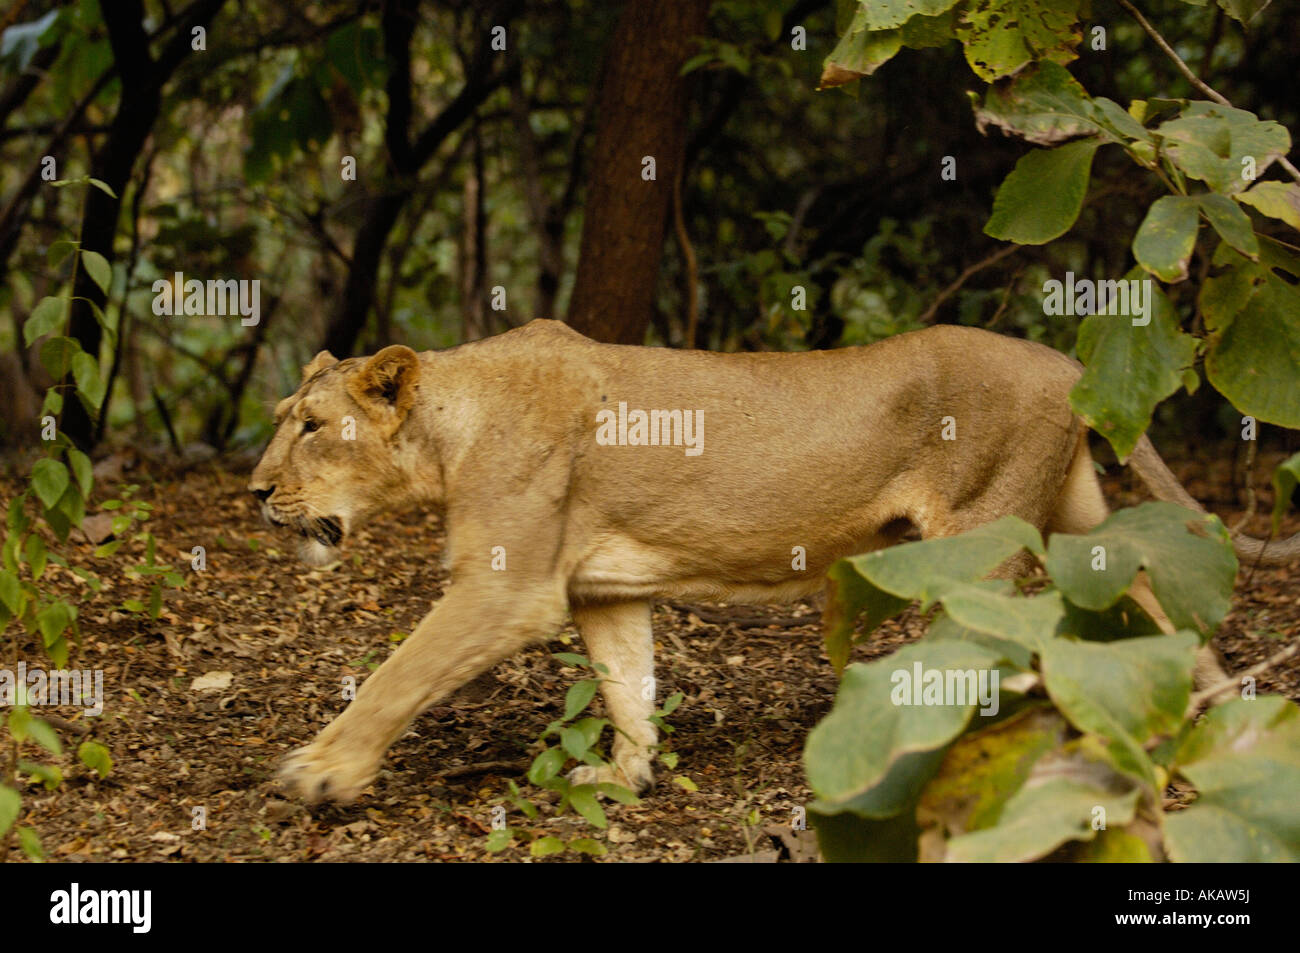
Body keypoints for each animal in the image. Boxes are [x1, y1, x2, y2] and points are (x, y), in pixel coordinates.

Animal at [249, 319, 1297, 804]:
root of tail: (1062, 358)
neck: (449, 428)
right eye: (282, 421)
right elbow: (627, 683)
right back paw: (1218, 722)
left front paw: (319, 772)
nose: (255, 492)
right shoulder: (599, 588)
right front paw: (624, 779)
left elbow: (398, 674)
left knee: (991, 649)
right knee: (1155, 596)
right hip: (1079, 510)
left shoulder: (508, 589)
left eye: (311, 427)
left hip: (978, 541)